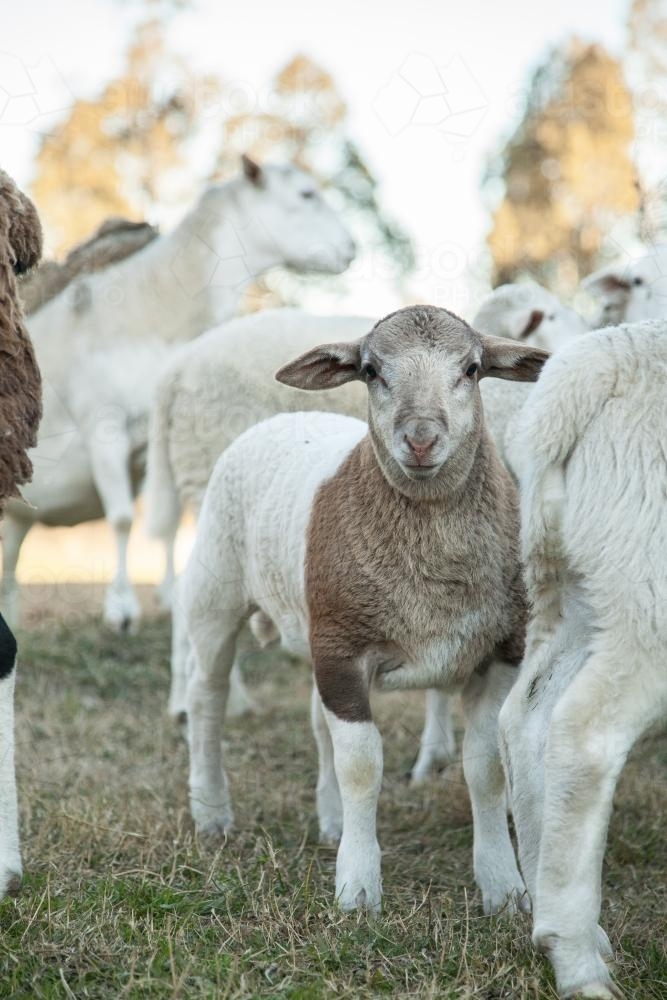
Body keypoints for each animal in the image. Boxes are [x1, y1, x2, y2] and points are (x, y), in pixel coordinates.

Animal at [1, 156, 355, 632]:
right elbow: (122, 519)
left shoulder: (160, 439)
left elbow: (168, 524)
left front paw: (169, 596)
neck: (157, 308)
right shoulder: (103, 424)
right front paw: (122, 609)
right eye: (306, 194)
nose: (351, 249)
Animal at [179, 305, 549, 913]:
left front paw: (503, 887)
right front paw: (358, 888)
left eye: (472, 369)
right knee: (206, 700)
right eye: (371, 370)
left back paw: (329, 821)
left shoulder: (501, 651)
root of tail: (287, 417)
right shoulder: (345, 651)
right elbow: (362, 767)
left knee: (315, 724)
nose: (420, 439)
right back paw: (211, 810)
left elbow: (485, 768)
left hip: (317, 627)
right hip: (215, 592)